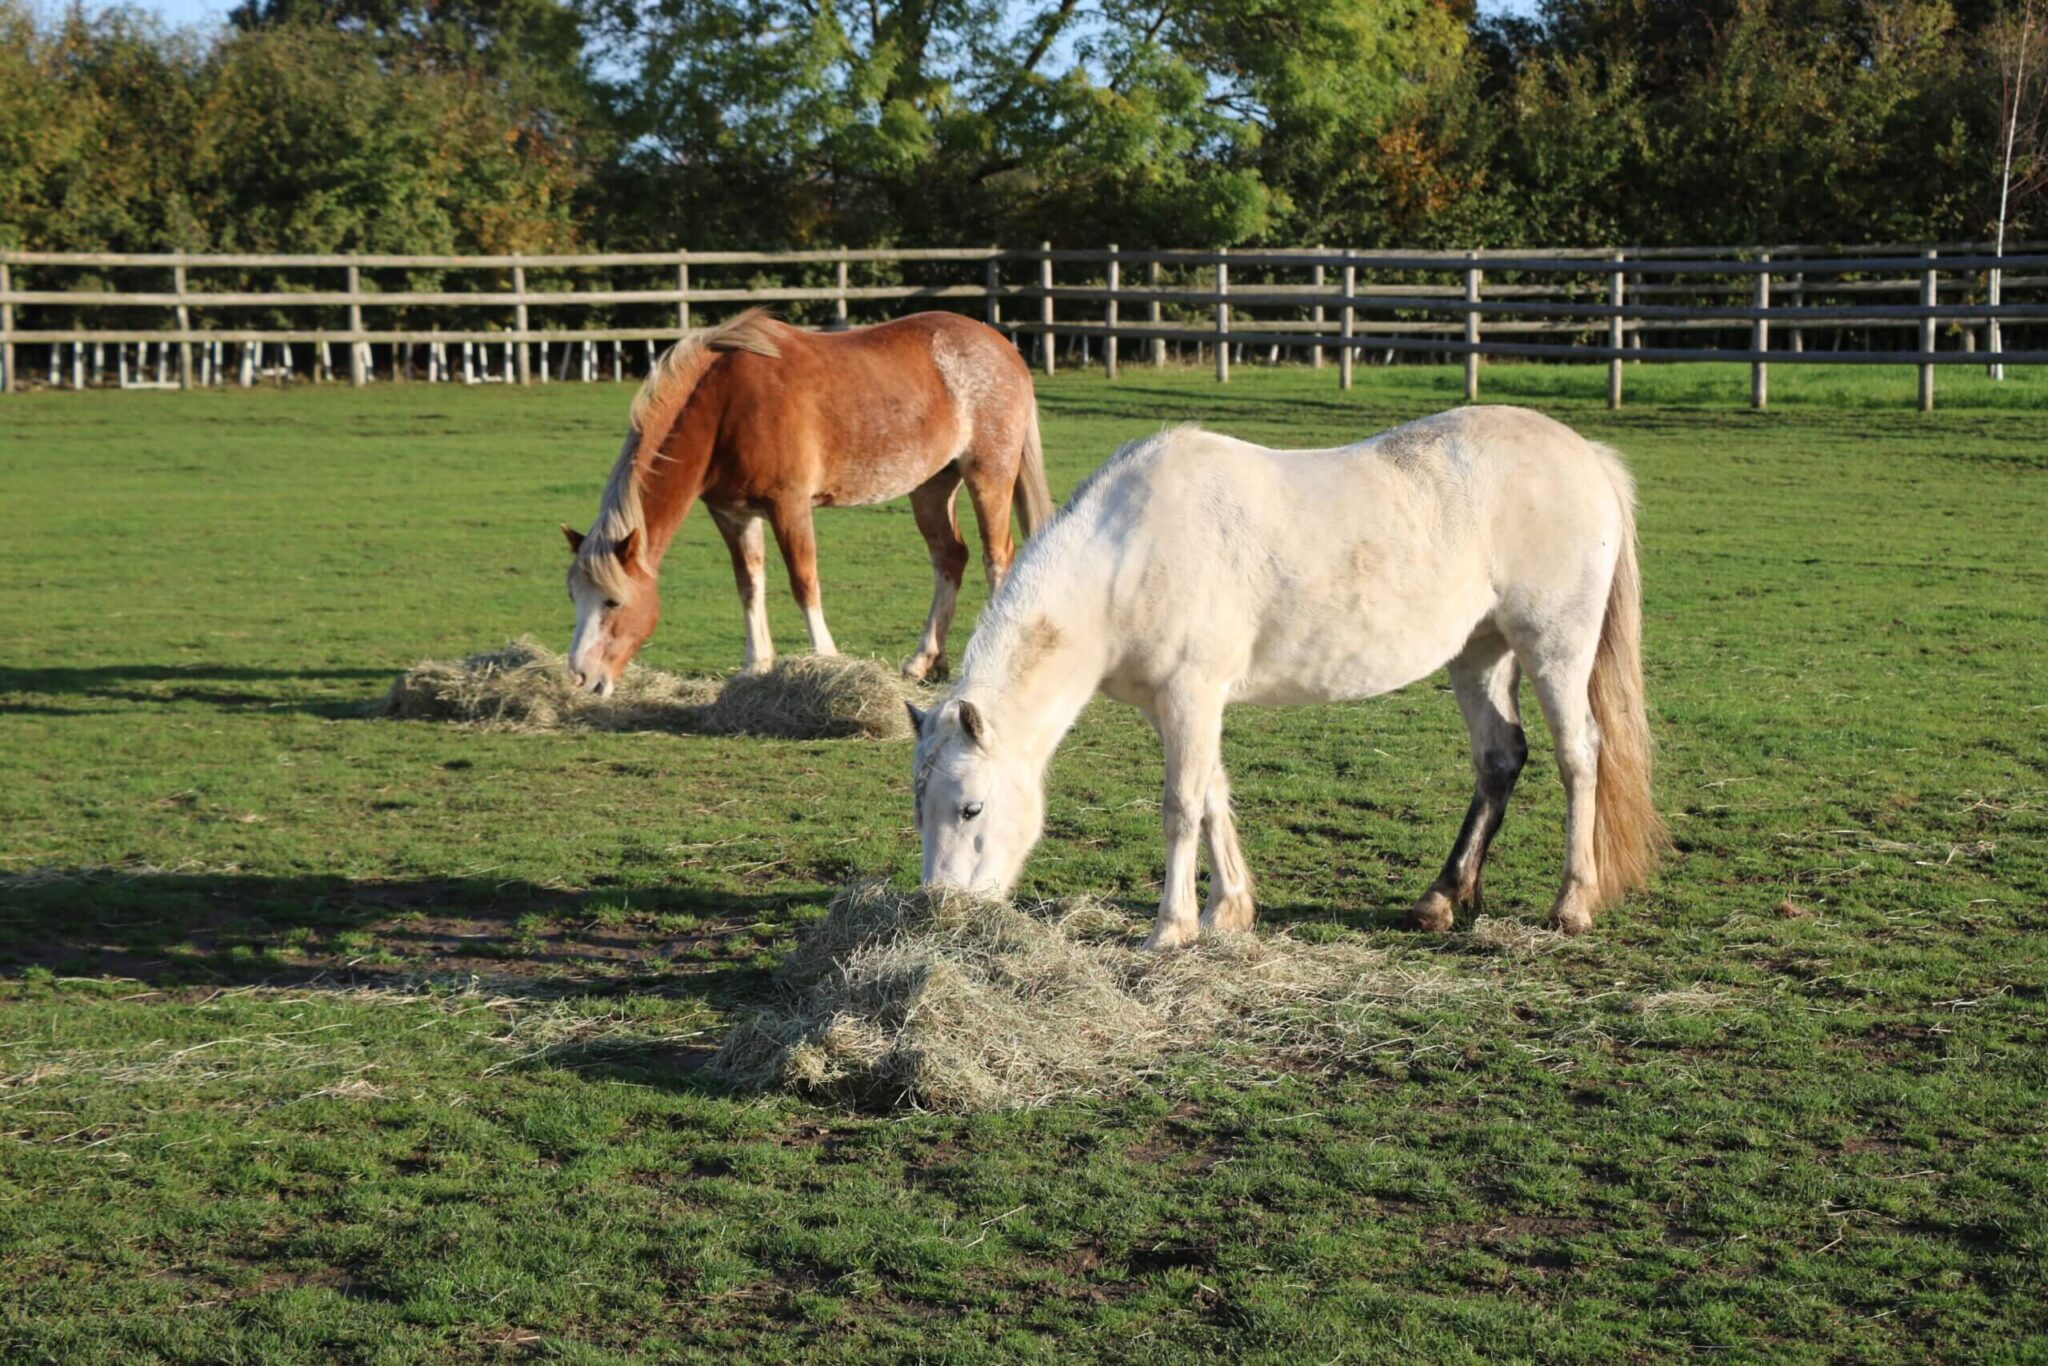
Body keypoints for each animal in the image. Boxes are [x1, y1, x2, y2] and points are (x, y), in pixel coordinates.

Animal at [561, 309, 1052, 692]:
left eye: (613, 602)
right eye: (573, 596)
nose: (581, 676)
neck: (726, 405)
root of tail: (1003, 347)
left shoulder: (789, 506)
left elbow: (804, 581)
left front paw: (827, 658)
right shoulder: (733, 514)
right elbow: (749, 583)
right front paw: (755, 665)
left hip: (988, 475)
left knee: (997, 557)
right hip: (932, 486)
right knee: (951, 558)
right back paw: (923, 660)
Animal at [907, 406, 1664, 949]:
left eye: (971, 807)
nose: (941, 907)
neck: (1130, 554)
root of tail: (1586, 456)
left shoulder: (1190, 693)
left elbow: (1181, 806)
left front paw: (1171, 928)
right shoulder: (1176, 704)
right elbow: (1213, 795)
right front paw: (1229, 911)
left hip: (1555, 648)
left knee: (1579, 757)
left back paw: (1571, 904)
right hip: (1480, 652)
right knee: (1500, 759)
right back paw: (1442, 900)